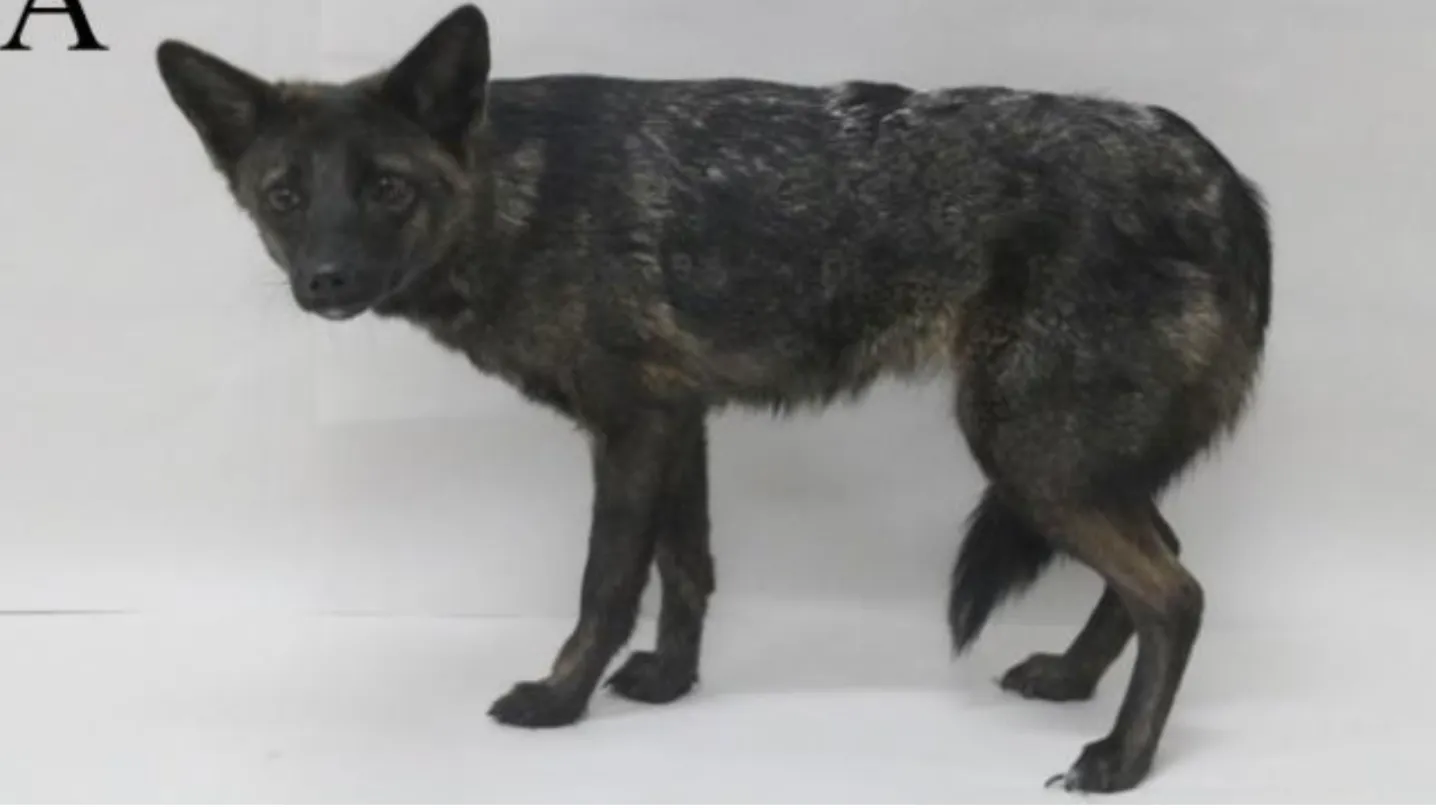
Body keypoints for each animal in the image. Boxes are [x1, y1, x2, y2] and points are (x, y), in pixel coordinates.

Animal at [155, 3, 1272, 794]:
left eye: (387, 188)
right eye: (284, 196)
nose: (327, 281)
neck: (522, 194)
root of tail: (1224, 175)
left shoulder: (629, 426)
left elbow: (606, 581)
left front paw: (559, 700)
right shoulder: (675, 419)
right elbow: (685, 567)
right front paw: (666, 683)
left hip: (1029, 453)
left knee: (1174, 592)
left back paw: (1119, 760)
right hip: (1064, 462)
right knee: (1161, 562)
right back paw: (1073, 683)